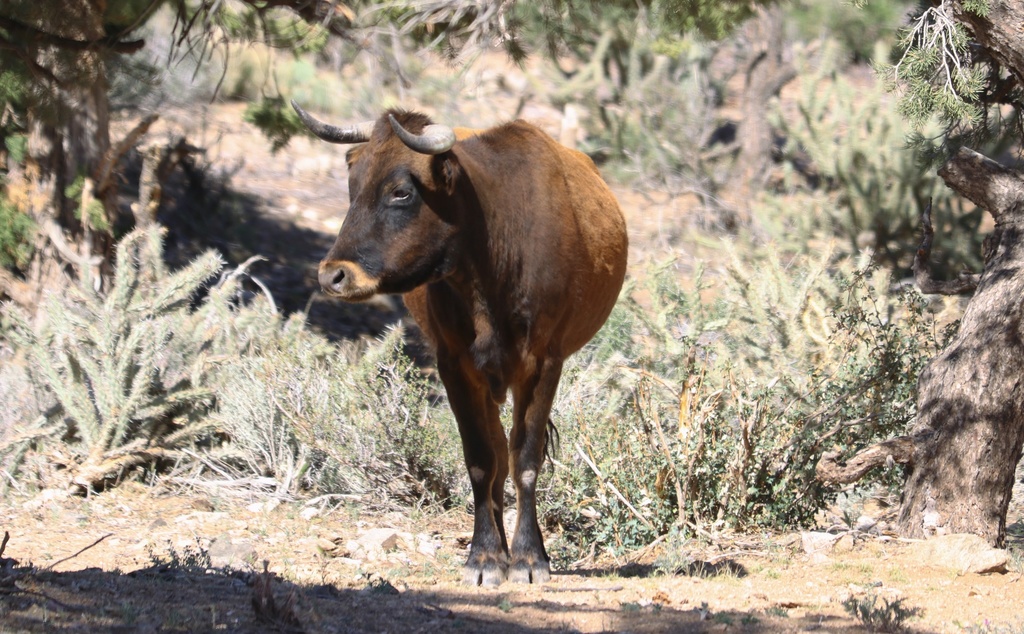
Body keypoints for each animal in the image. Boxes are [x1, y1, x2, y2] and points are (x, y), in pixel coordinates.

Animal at [292, 101, 628, 586]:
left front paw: (530, 558)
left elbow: (527, 459)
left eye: (401, 192)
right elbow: (481, 461)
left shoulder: (546, 362)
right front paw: (485, 557)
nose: (333, 275)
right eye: (353, 187)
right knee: (496, 457)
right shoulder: (454, 365)